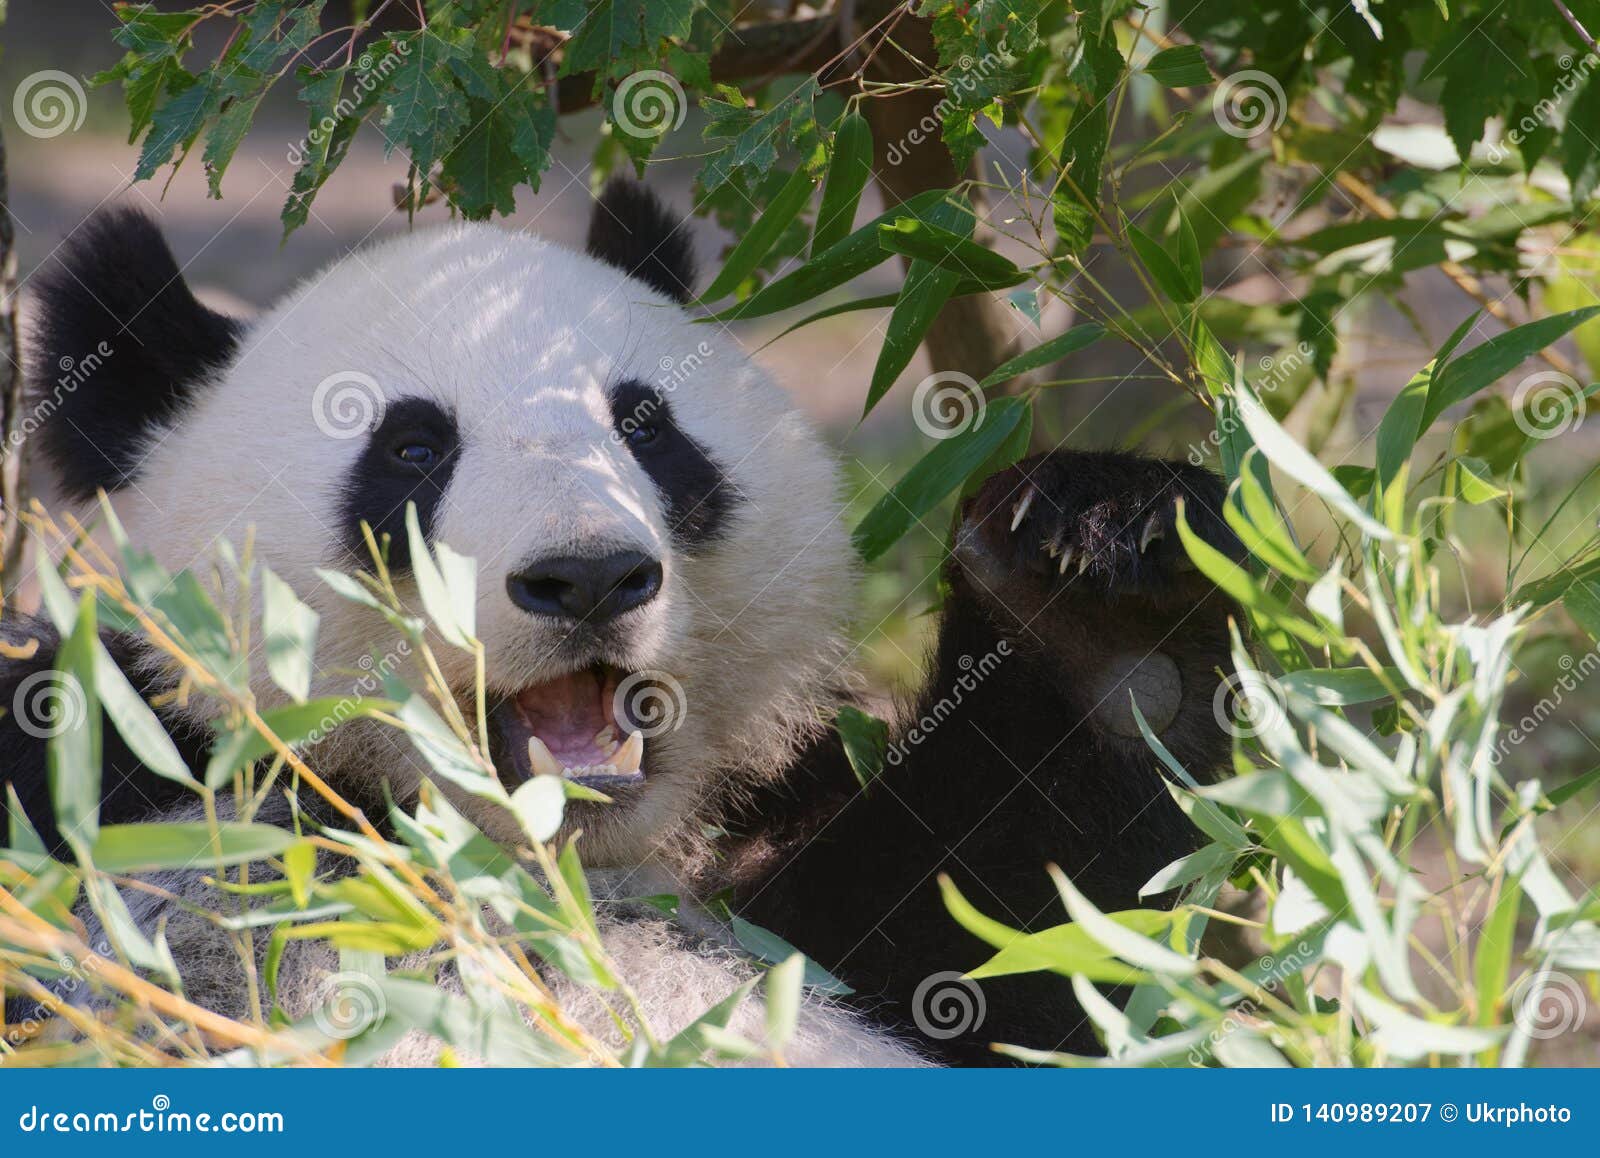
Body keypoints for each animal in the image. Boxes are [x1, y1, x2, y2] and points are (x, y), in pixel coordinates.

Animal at [2, 182, 1240, 1066]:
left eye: (645, 426)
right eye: (411, 449)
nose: (589, 577)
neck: (545, 867)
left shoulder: (779, 854)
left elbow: (1027, 947)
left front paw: (1098, 588)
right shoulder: (122, 785)